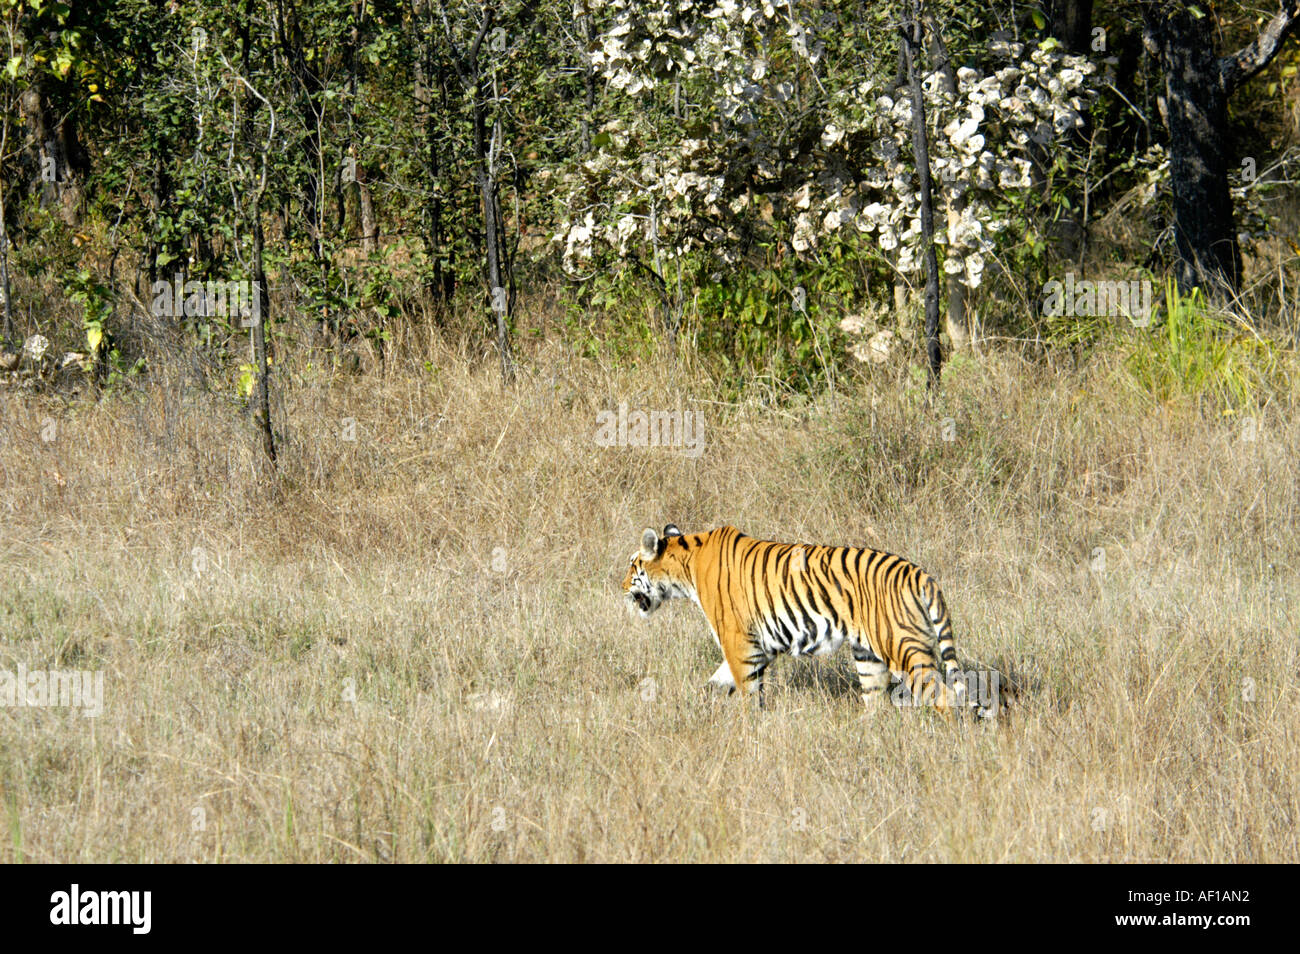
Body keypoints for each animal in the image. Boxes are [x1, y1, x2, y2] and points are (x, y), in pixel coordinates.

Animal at [622, 524, 990, 716]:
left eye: (632, 566)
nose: (622, 587)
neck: (686, 567)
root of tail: (919, 573)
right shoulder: (759, 645)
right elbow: (716, 684)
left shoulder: (739, 641)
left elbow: (747, 691)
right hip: (867, 655)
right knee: (875, 701)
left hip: (902, 646)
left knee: (944, 696)